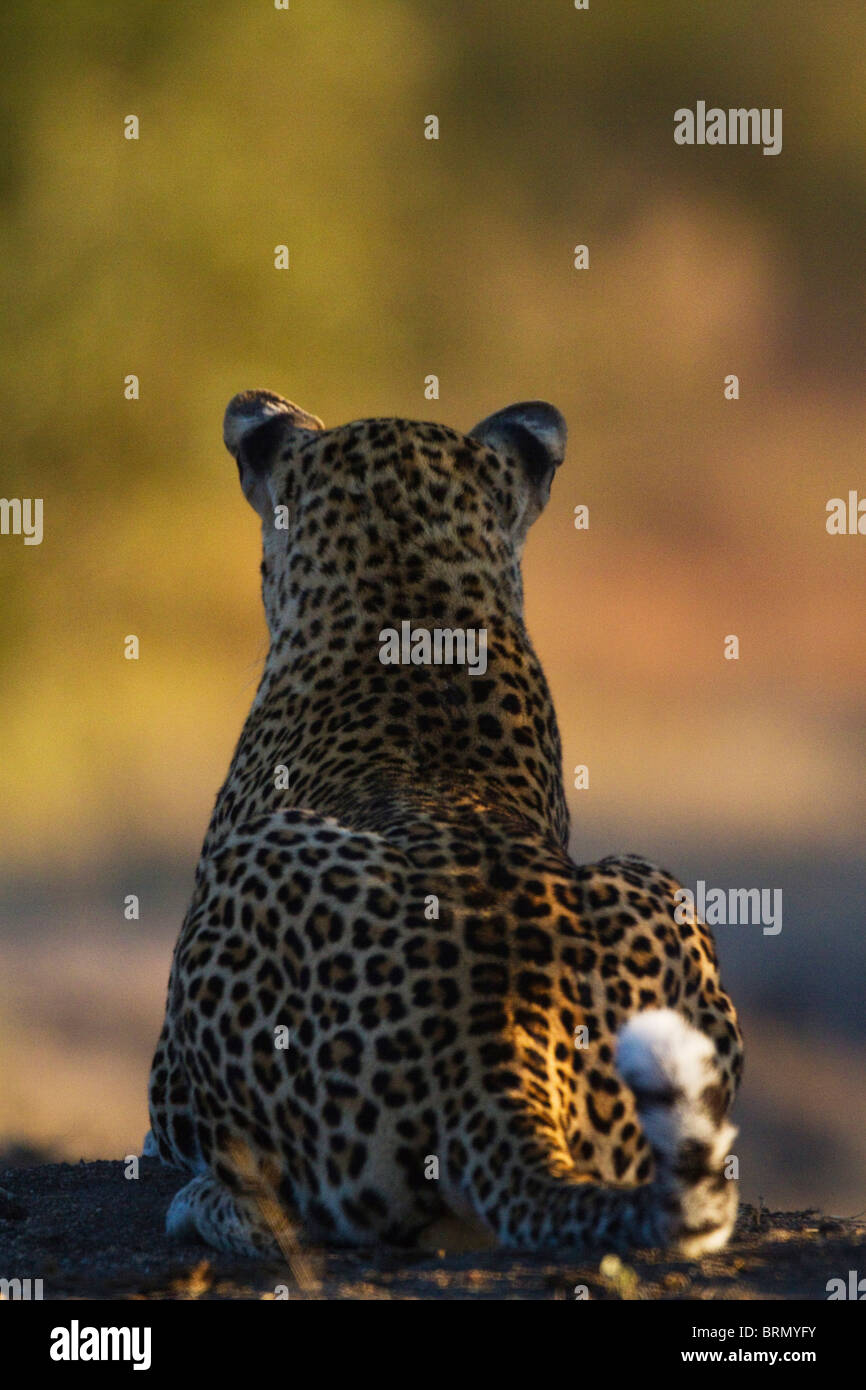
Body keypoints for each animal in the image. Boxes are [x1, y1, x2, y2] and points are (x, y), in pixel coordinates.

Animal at [146, 388, 743, 1261]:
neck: (410, 587)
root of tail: (497, 1050)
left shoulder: (168, 1090)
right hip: (655, 882)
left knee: (303, 1219)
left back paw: (203, 1206)